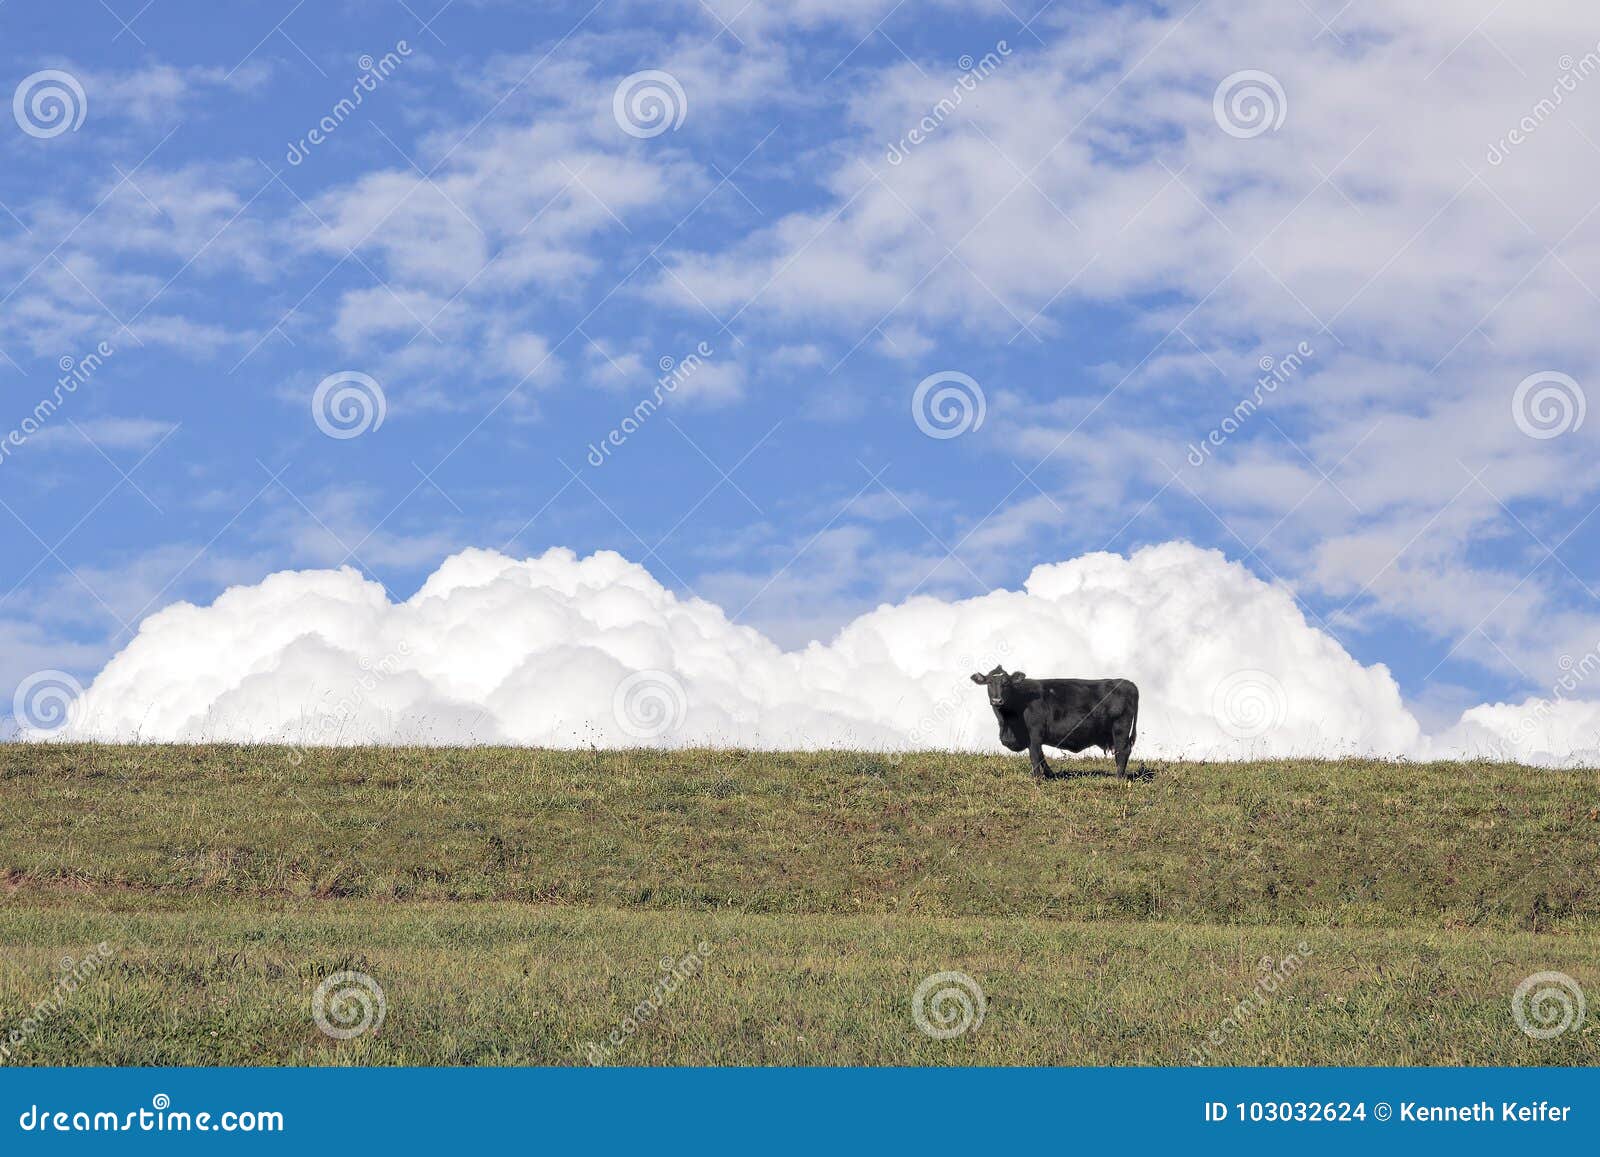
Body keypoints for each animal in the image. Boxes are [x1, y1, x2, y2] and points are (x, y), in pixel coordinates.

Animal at [970, 665, 1139, 779]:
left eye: (1006, 683)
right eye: (989, 682)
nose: (997, 700)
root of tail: (1128, 683)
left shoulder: (1035, 733)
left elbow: (1035, 755)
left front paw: (1037, 778)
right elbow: (1041, 756)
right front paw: (1049, 774)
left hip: (1120, 728)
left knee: (1123, 751)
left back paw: (1118, 778)